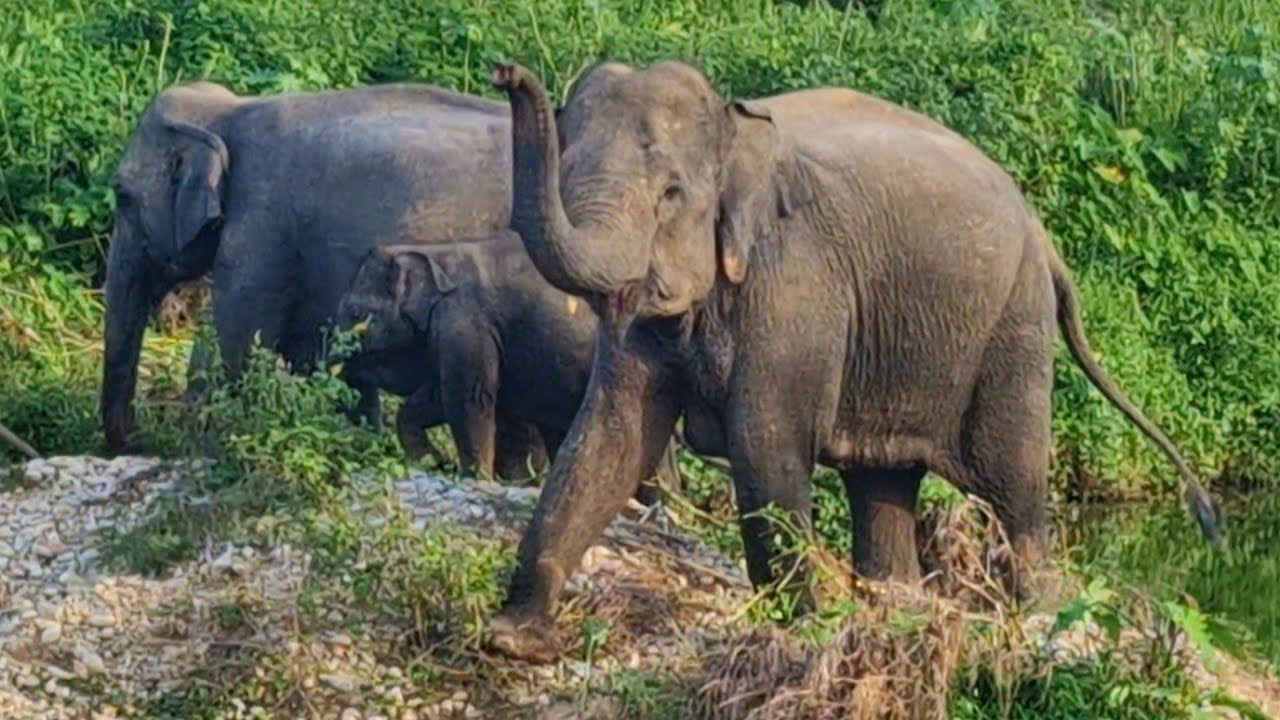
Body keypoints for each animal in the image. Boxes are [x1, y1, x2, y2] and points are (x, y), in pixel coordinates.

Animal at [101, 80, 516, 454]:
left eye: (122, 196)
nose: (138, 440)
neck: (229, 109)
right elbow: (315, 356)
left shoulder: (262, 229)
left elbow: (233, 343)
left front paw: (196, 446)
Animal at [335, 232, 674, 501]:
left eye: (355, 313)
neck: (432, 250)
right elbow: (438, 397)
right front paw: (435, 462)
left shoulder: (466, 322)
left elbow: (469, 398)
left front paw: (476, 478)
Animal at [482, 61, 1222, 662]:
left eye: (670, 194)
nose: (505, 72)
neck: (735, 129)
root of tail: (1044, 237)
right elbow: (610, 436)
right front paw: (515, 638)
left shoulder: (798, 282)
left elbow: (766, 444)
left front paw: (804, 625)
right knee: (883, 478)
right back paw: (897, 603)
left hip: (1012, 321)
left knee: (1012, 473)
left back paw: (1039, 612)